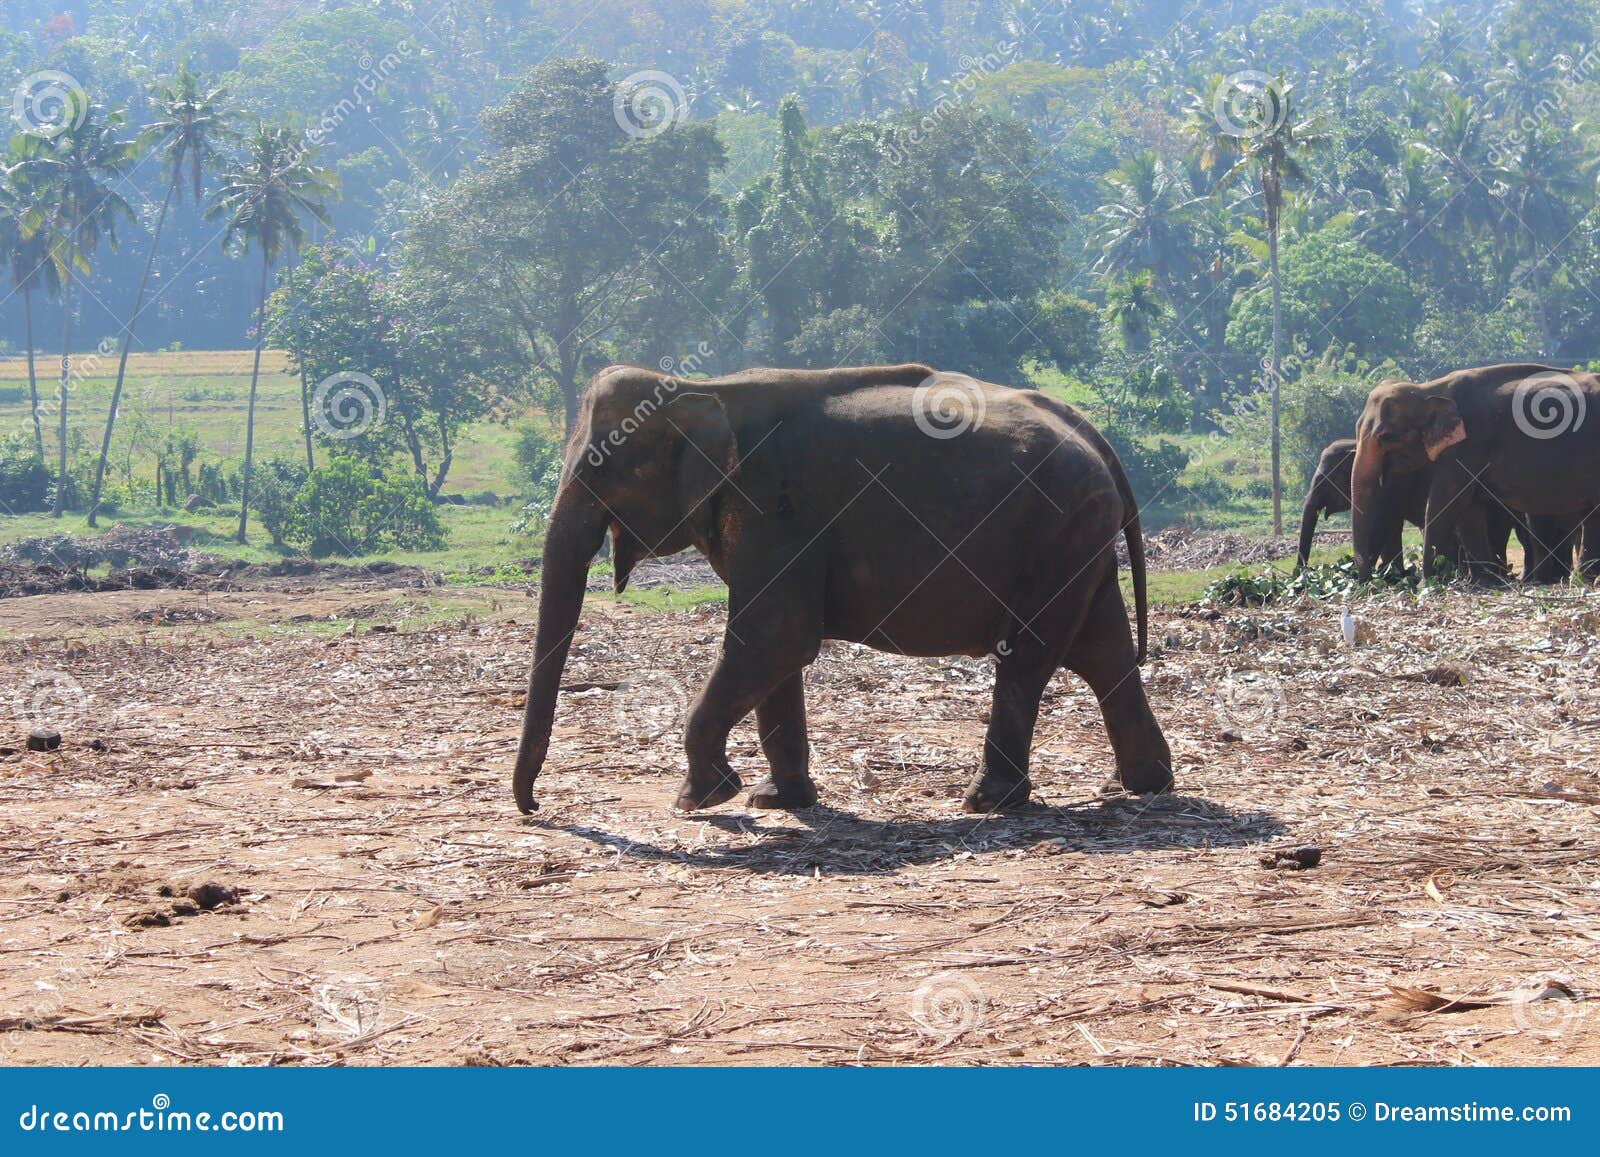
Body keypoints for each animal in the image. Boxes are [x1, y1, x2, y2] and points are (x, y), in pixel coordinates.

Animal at [512, 363, 1173, 816]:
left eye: (598, 468)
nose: (535, 807)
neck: (697, 385)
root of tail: (1093, 435)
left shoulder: (775, 510)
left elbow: (775, 637)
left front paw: (702, 798)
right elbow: (775, 653)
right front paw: (775, 800)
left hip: (1058, 531)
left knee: (1031, 657)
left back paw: (986, 802)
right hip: (1079, 542)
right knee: (1104, 652)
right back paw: (1139, 785)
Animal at [1351, 365, 1600, 581]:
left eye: (1385, 436)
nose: (1368, 583)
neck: (1429, 389)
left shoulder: (1468, 443)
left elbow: (1445, 503)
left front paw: (1427, 584)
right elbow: (1469, 509)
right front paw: (1483, 583)